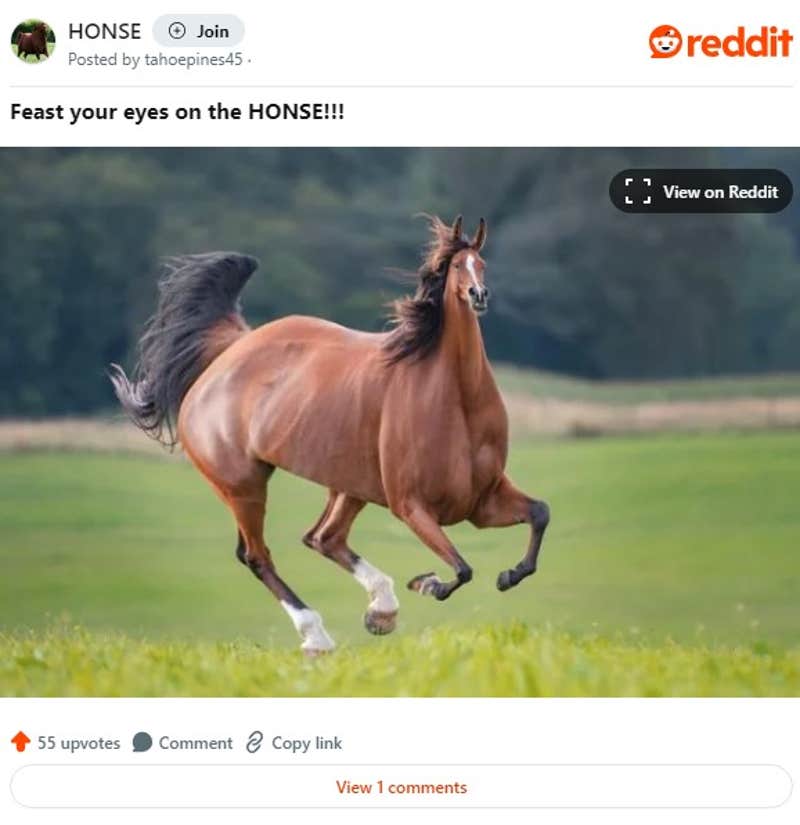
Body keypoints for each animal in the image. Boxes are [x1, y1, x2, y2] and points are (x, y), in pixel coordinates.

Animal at [109, 215, 550, 654]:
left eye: (483, 264)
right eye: (457, 265)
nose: (479, 294)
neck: (457, 398)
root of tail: (228, 352)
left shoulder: (482, 502)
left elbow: (538, 514)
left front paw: (509, 575)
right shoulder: (411, 506)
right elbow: (461, 568)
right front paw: (426, 583)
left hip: (347, 484)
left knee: (323, 538)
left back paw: (380, 611)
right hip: (243, 487)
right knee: (258, 555)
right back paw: (318, 636)